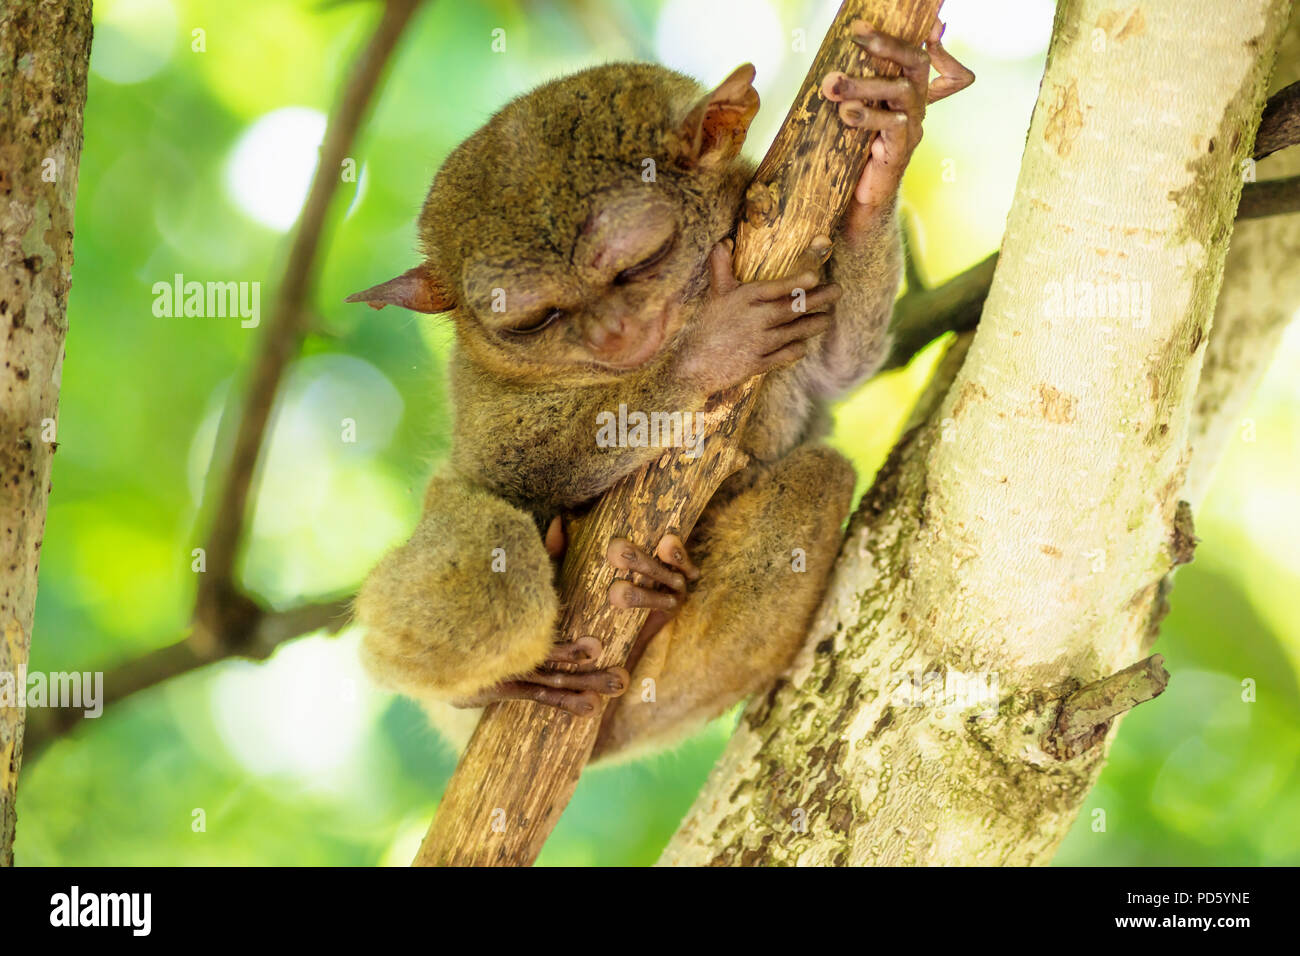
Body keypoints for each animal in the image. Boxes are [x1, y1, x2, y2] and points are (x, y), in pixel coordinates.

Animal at [348, 20, 973, 761]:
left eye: (640, 262)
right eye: (533, 321)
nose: (612, 334)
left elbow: (843, 369)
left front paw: (888, 138)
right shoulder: (481, 389)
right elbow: (516, 466)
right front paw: (711, 347)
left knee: (819, 476)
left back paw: (656, 603)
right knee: (496, 590)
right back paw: (509, 681)